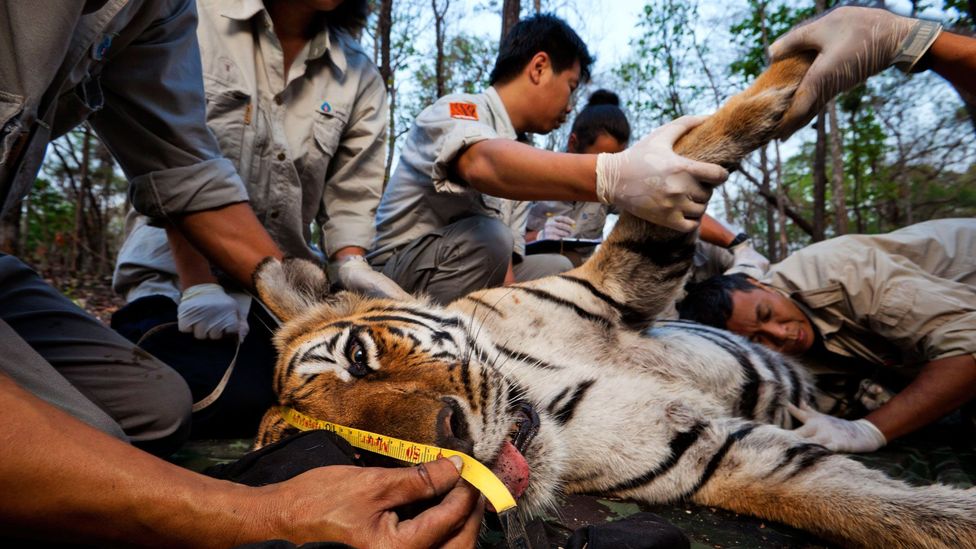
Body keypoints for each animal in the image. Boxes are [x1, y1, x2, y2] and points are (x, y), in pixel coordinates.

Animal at [251, 53, 976, 549]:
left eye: (357, 355)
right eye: (357, 454)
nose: (448, 438)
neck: (543, 385)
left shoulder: (619, 282)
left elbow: (702, 142)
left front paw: (814, 55)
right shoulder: (712, 454)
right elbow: (873, 506)